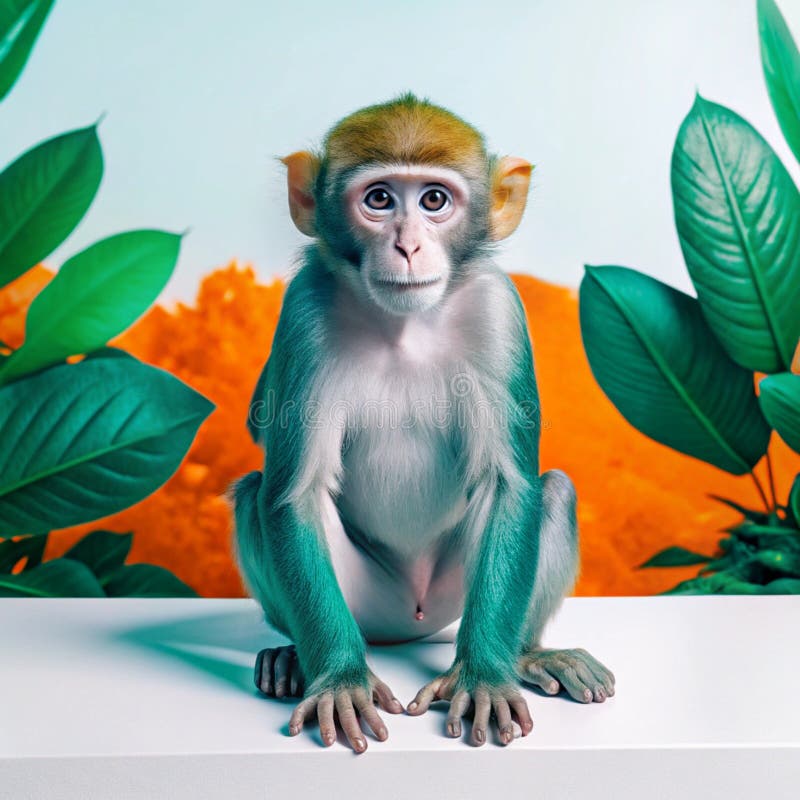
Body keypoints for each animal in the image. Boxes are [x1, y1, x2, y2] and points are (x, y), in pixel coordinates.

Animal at [233, 94, 614, 753]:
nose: (408, 246)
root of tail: (408, 622)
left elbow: (510, 486)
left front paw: (484, 676)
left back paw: (527, 655)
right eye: (380, 199)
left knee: (553, 492)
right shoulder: (303, 309)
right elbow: (291, 494)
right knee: (257, 493)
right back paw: (295, 658)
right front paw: (340, 679)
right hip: (366, 602)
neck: (403, 325)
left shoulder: (497, 311)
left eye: (434, 200)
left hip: (448, 599)